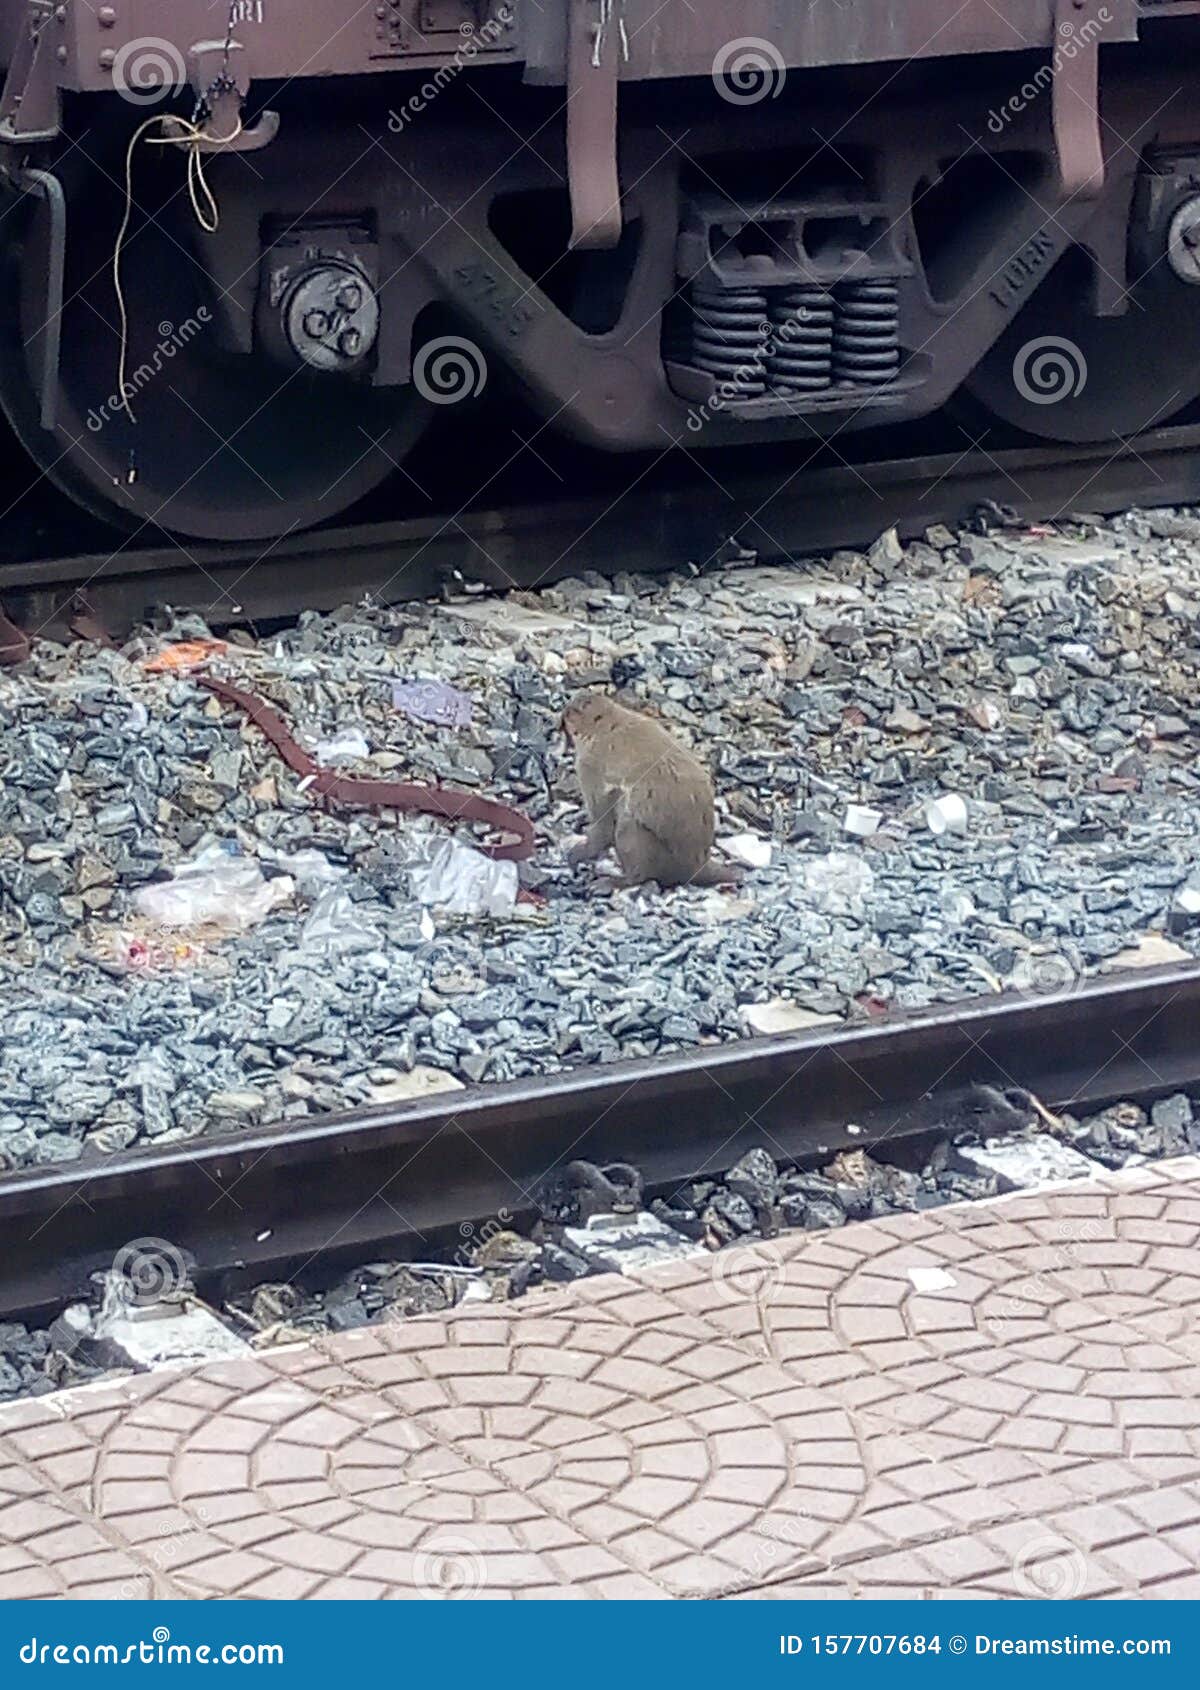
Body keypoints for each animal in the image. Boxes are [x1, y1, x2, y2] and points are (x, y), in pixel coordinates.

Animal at [561, 691, 743, 888]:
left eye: (580, 708)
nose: (565, 710)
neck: (607, 725)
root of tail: (700, 866)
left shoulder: (590, 766)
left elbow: (601, 816)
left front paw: (578, 852)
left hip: (634, 834)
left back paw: (612, 880)